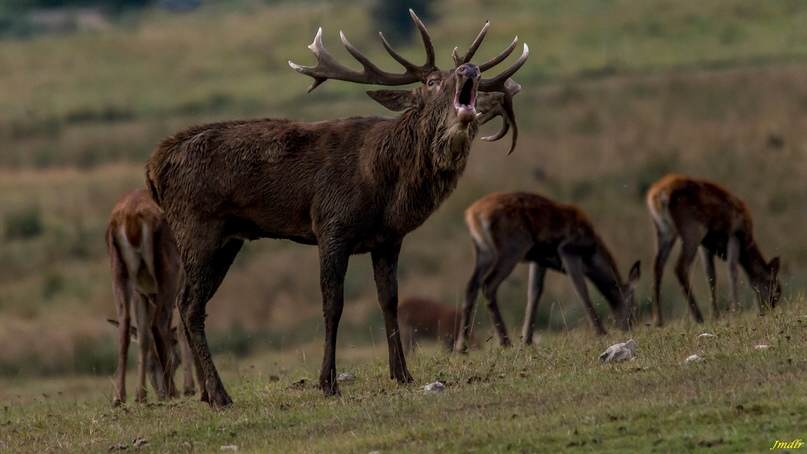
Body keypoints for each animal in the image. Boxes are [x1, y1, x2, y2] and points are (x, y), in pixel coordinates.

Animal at [106, 188, 196, 405]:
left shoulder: (141, 292)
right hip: (168, 272)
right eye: (176, 360)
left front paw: (140, 395)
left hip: (119, 272)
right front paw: (190, 387)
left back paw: (119, 396)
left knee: (125, 325)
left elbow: (143, 337)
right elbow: (182, 329)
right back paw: (173, 391)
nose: (160, 392)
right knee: (158, 324)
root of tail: (131, 219)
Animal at [145, 10, 529, 406]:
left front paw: (402, 374)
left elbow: (389, 300)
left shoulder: (388, 239)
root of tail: (153, 166)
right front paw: (328, 382)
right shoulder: (332, 226)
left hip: (227, 239)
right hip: (197, 227)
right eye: (433, 81)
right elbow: (333, 304)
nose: (471, 69)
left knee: (188, 303)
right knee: (189, 304)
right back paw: (220, 394)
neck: (387, 187)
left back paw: (208, 393)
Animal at [454, 192, 641, 352]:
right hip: (513, 246)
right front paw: (601, 332)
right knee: (488, 284)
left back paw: (461, 346)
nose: (630, 325)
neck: (592, 252)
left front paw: (527, 339)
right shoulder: (568, 250)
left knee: (471, 286)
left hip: (484, 252)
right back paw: (505, 341)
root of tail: (473, 214)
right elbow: (581, 290)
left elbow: (534, 293)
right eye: (632, 303)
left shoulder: (539, 260)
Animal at [646, 174, 781, 326]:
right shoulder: (734, 234)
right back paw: (697, 317)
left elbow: (710, 275)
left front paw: (715, 315)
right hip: (693, 227)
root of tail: (657, 196)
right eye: (775, 288)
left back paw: (658, 319)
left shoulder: (705, 244)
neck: (747, 242)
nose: (768, 308)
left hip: (665, 231)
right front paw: (735, 311)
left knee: (657, 266)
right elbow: (732, 271)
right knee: (680, 267)